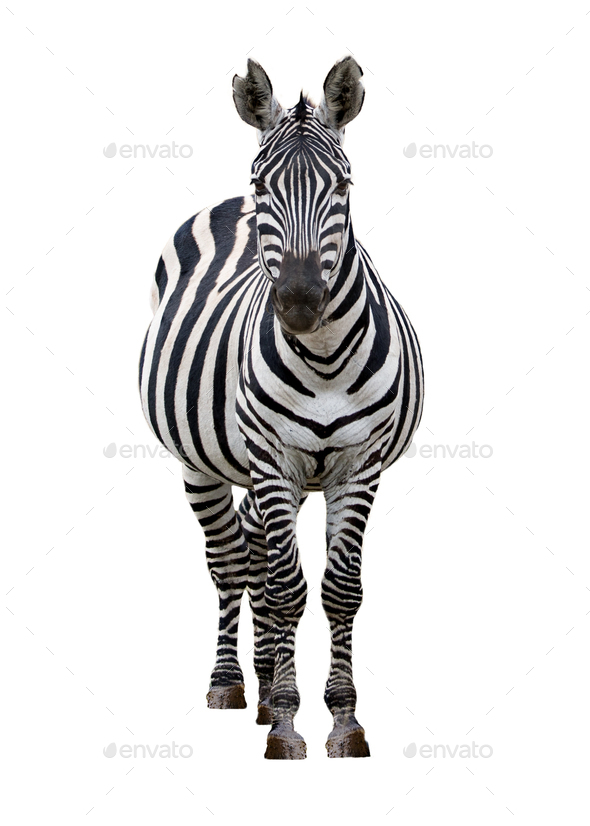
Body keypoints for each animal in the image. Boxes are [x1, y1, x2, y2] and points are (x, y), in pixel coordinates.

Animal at [139, 56, 424, 759]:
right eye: (263, 184)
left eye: (343, 185)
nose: (298, 305)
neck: (321, 356)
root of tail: (225, 206)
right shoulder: (272, 461)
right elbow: (287, 588)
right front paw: (290, 726)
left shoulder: (358, 465)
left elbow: (339, 591)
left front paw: (343, 721)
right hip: (205, 465)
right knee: (230, 564)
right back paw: (234, 684)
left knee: (256, 560)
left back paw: (269, 687)